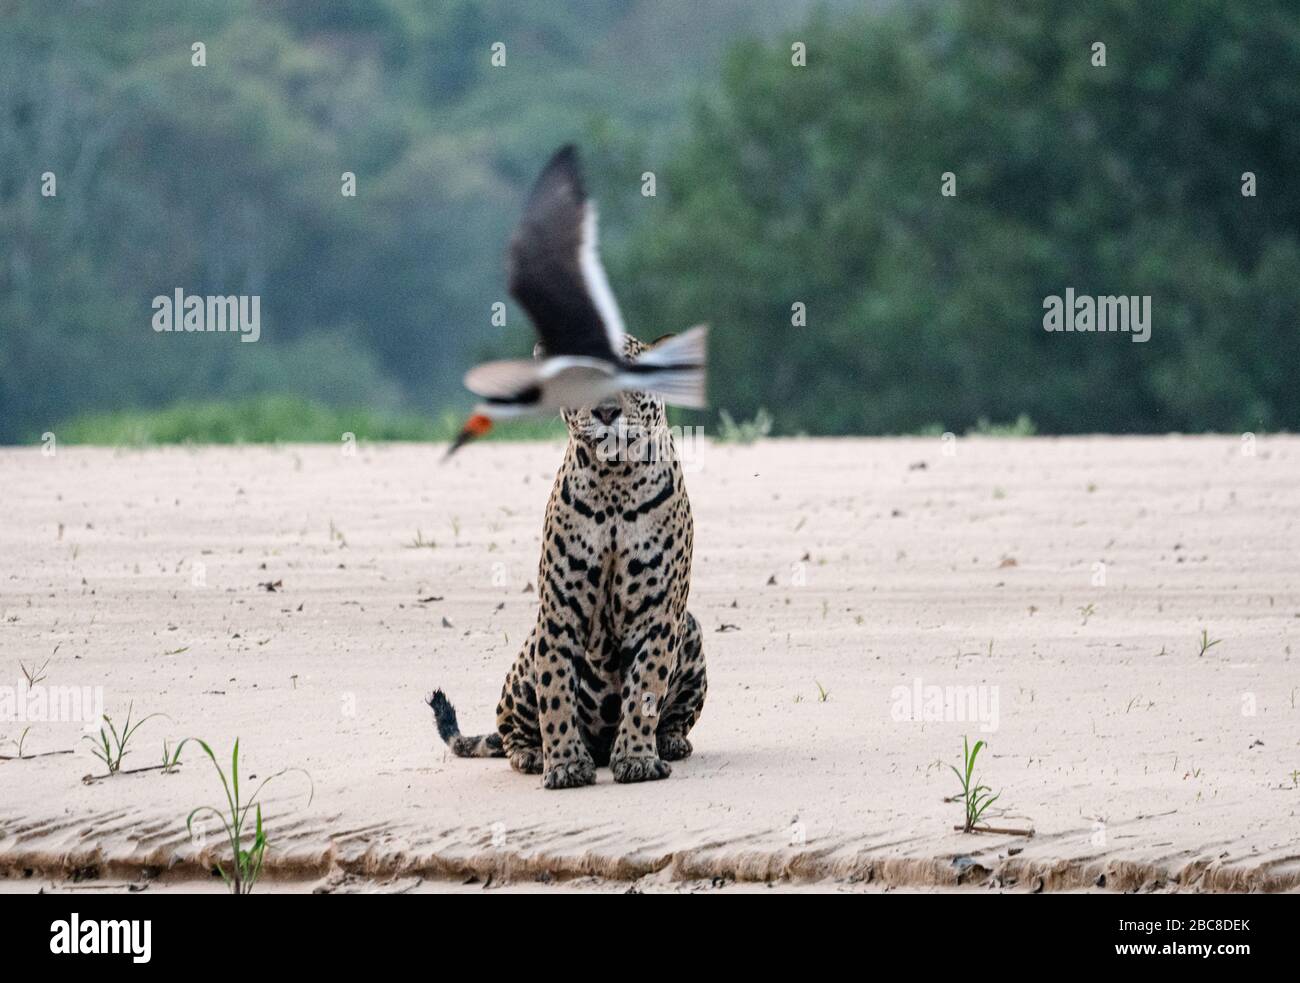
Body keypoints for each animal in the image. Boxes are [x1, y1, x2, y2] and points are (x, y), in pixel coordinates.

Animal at [428, 333, 707, 789]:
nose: (606, 411)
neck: (615, 482)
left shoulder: (658, 609)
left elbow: (645, 687)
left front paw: (637, 759)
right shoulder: (560, 609)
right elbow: (555, 690)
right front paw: (564, 765)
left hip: (692, 629)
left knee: (673, 716)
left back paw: (668, 743)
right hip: (527, 655)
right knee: (510, 730)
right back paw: (533, 754)